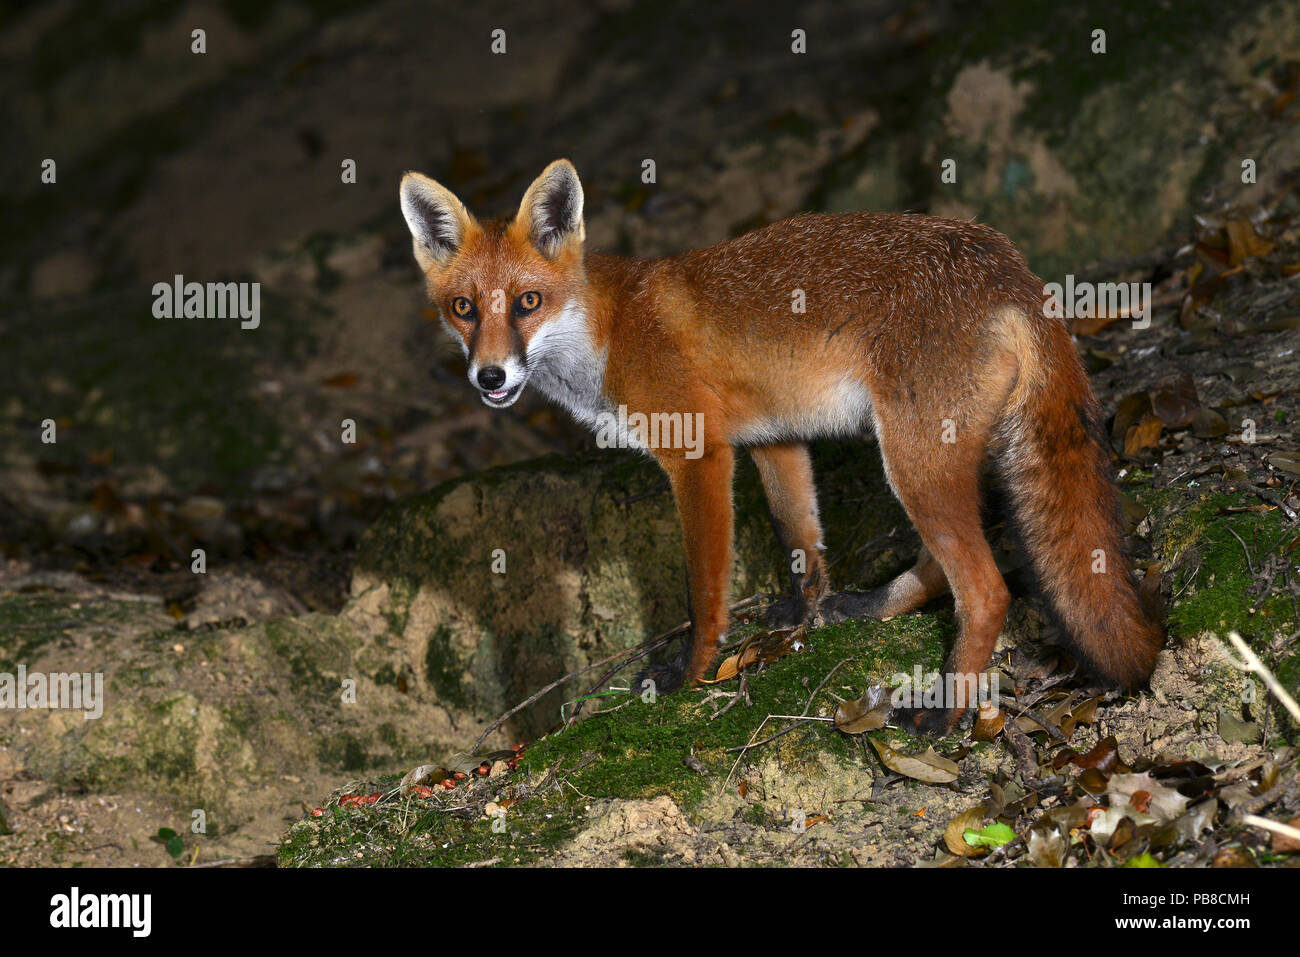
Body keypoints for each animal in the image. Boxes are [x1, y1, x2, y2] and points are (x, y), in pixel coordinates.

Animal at [399, 158, 1166, 733]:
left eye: (527, 303)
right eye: (465, 310)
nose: (490, 376)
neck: (609, 334)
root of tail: (1010, 266)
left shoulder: (699, 456)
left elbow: (703, 594)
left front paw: (689, 674)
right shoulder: (777, 439)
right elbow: (799, 540)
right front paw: (802, 616)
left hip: (912, 460)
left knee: (987, 587)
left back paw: (945, 710)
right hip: (931, 455)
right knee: (947, 564)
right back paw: (878, 606)